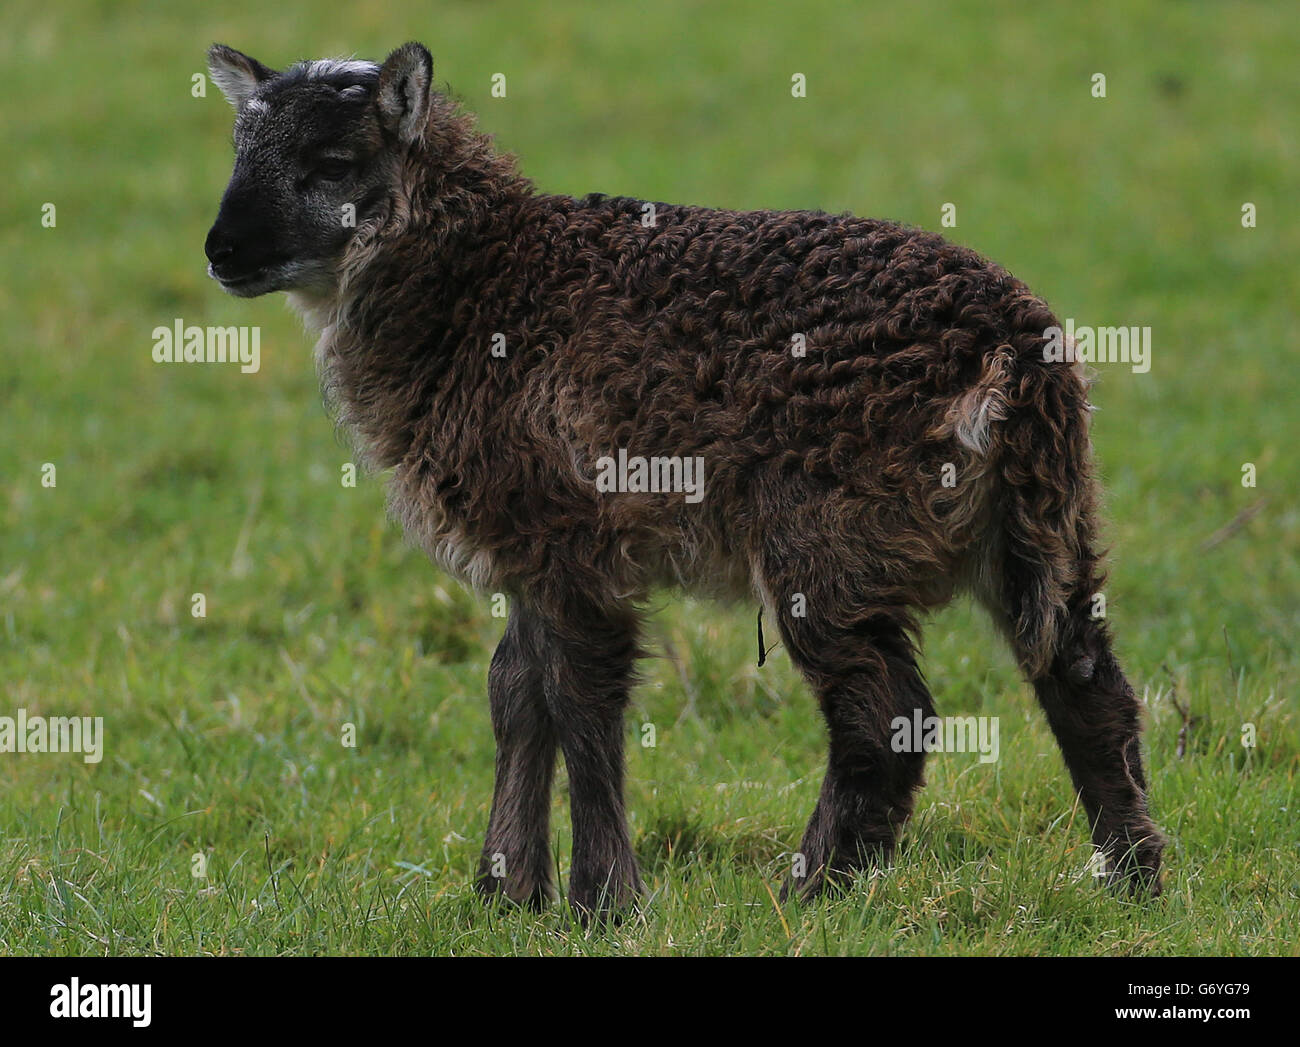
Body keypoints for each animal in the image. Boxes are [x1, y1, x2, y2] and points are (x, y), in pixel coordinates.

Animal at [204, 41, 1165, 917]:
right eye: (239, 153)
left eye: (332, 163)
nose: (221, 250)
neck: (482, 286)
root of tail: (1018, 351)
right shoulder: (527, 542)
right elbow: (516, 691)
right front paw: (507, 893)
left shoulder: (570, 532)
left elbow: (579, 700)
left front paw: (603, 900)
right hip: (1040, 522)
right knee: (1087, 683)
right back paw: (1132, 879)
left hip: (827, 534)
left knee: (885, 714)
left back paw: (810, 890)